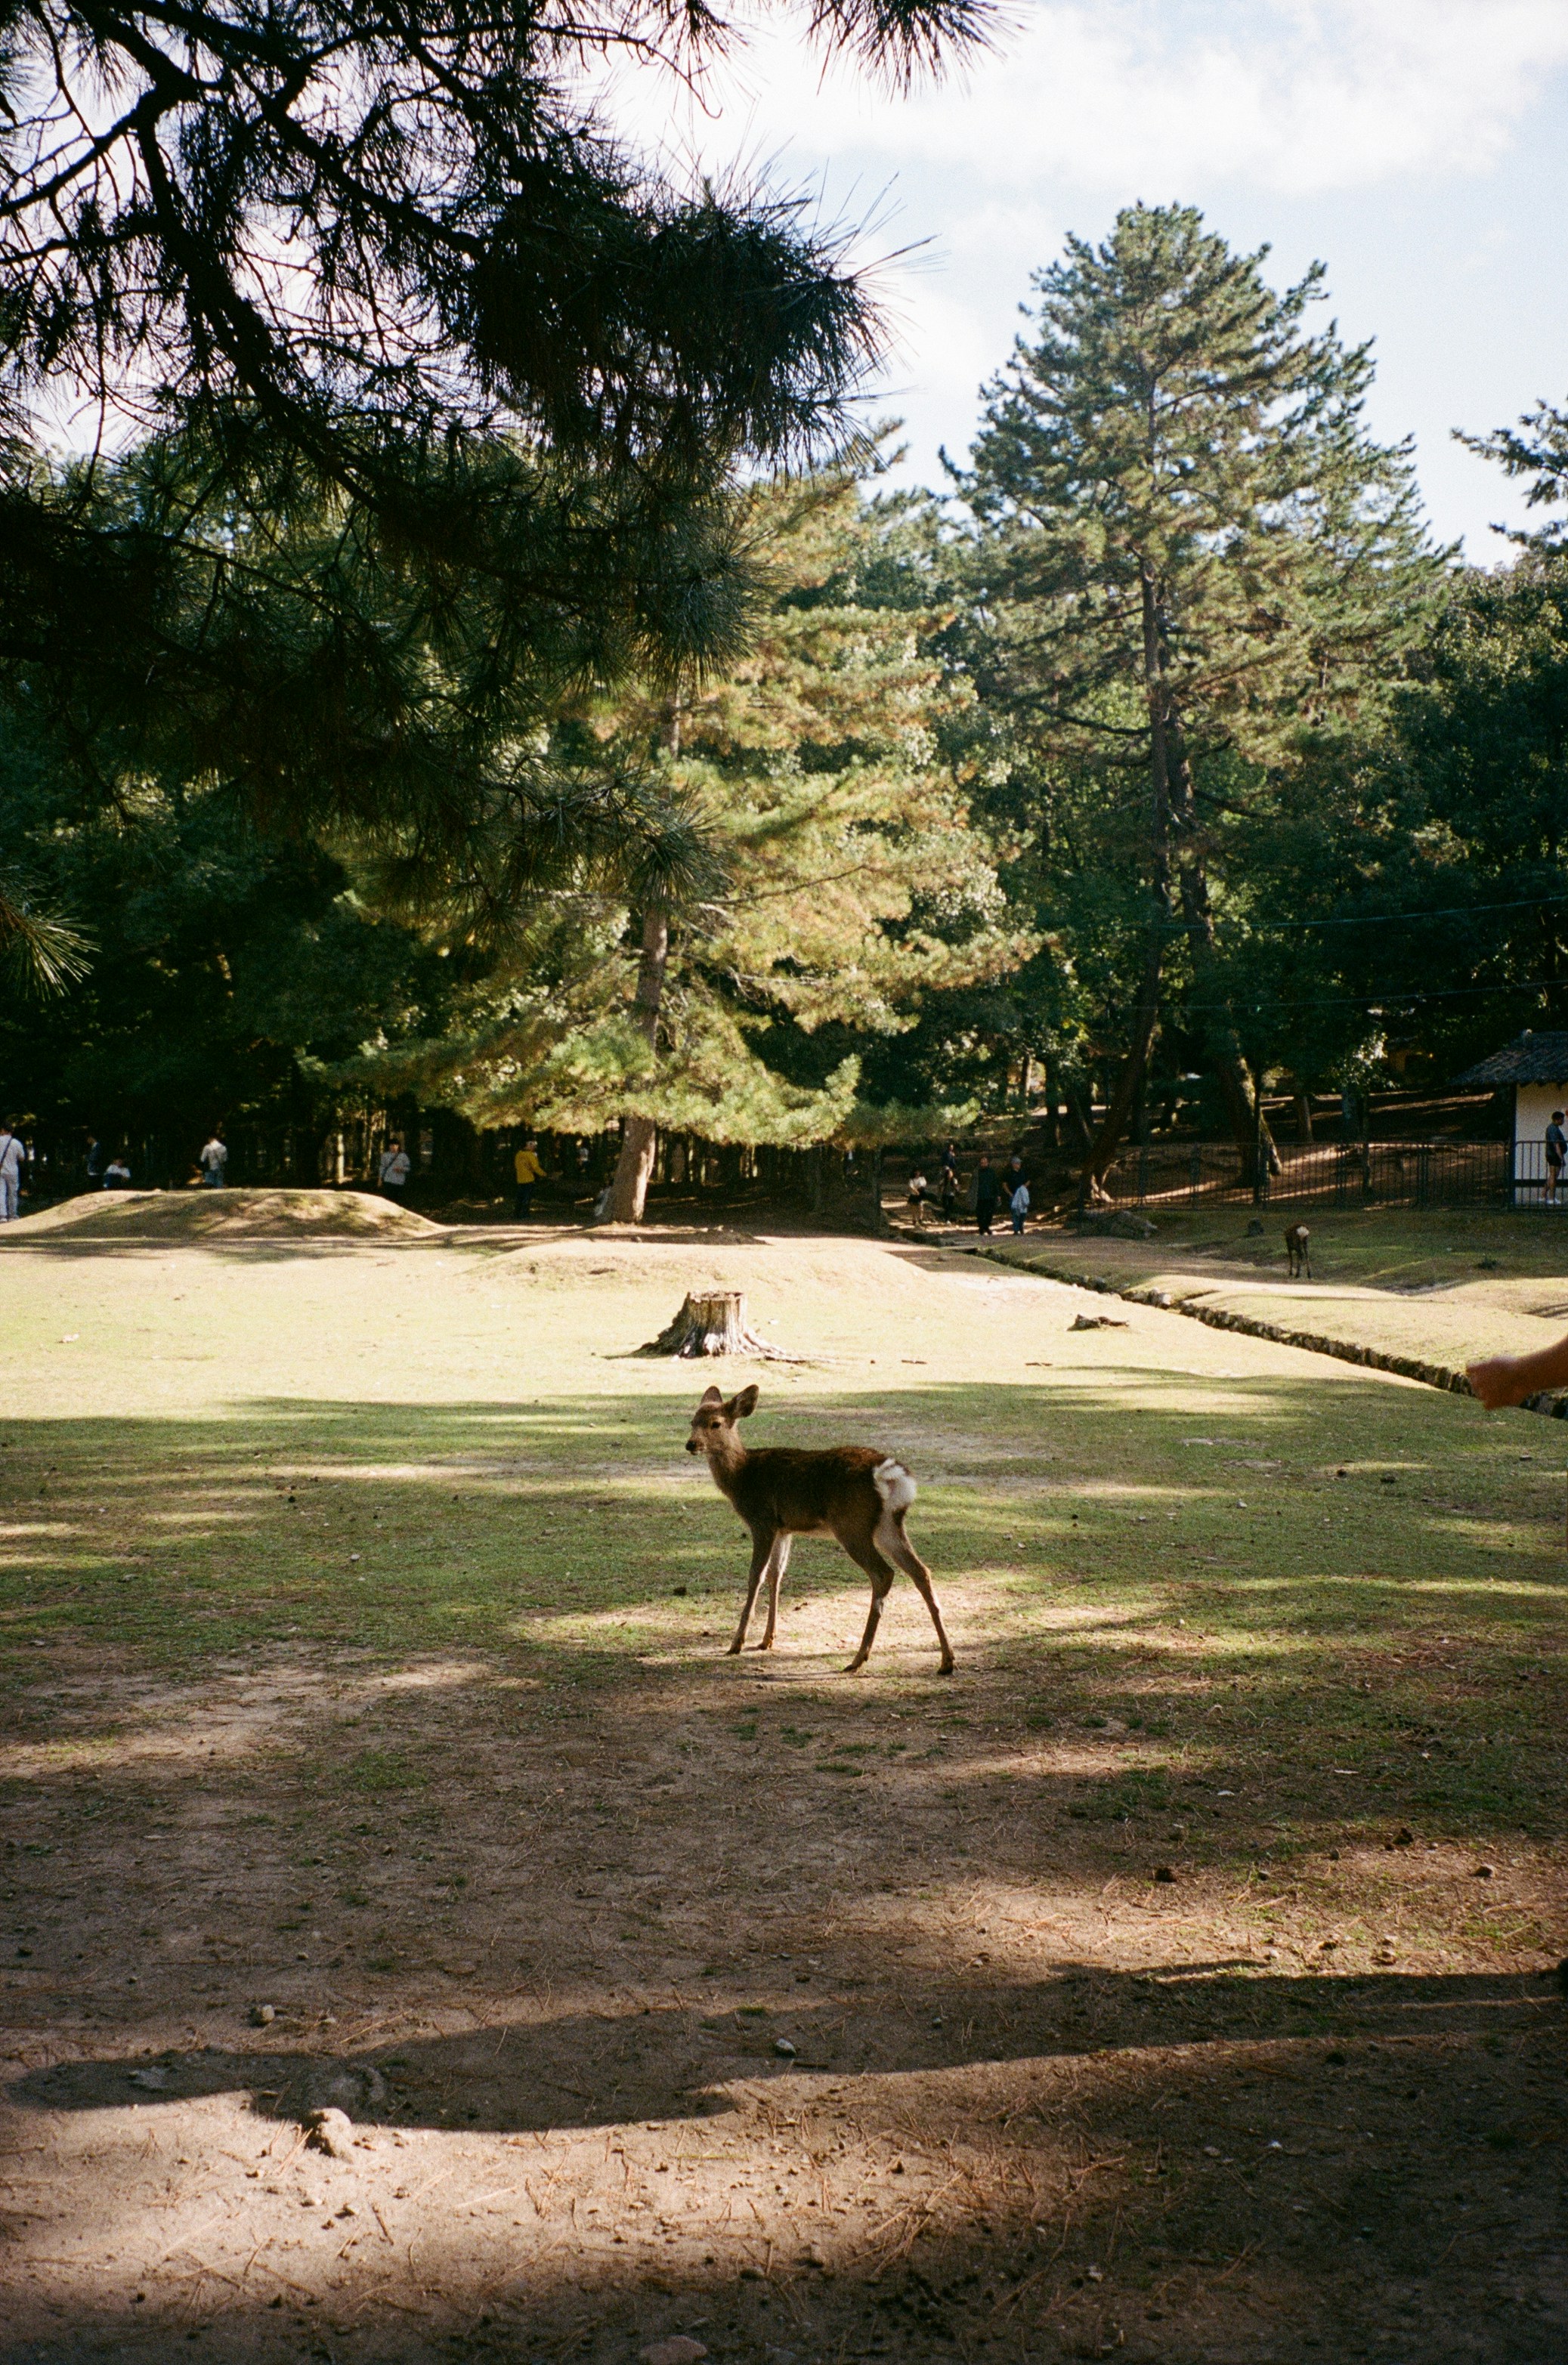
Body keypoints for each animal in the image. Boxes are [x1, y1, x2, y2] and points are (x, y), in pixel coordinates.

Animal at [685, 1383, 955, 1676]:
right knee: (921, 1571)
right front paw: (767, 1639)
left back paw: (859, 1658)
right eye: (692, 1421)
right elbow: (776, 1575)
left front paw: (737, 1643)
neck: (741, 1476)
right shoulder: (784, 1528)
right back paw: (946, 1660)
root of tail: (888, 1474)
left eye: (716, 1423)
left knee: (883, 1573)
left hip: (852, 1525)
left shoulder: (762, 1520)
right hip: (889, 1525)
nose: (691, 1444)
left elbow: (756, 1576)